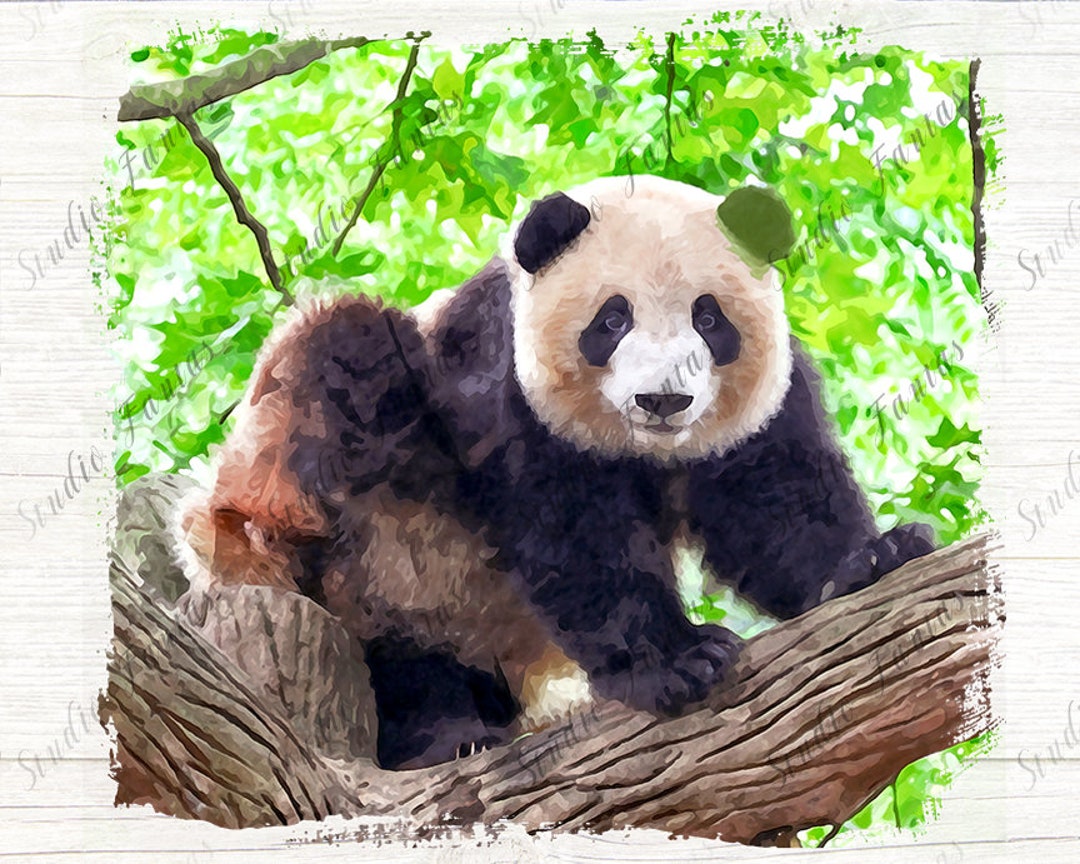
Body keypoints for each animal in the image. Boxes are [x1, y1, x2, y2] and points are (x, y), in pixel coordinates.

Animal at [175, 175, 934, 771]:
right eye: (613, 319)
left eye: (710, 317)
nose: (663, 401)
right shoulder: (503, 383)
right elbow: (573, 531)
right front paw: (676, 662)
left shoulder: (756, 402)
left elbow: (771, 499)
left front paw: (874, 557)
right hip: (327, 539)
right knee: (345, 357)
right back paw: (439, 735)